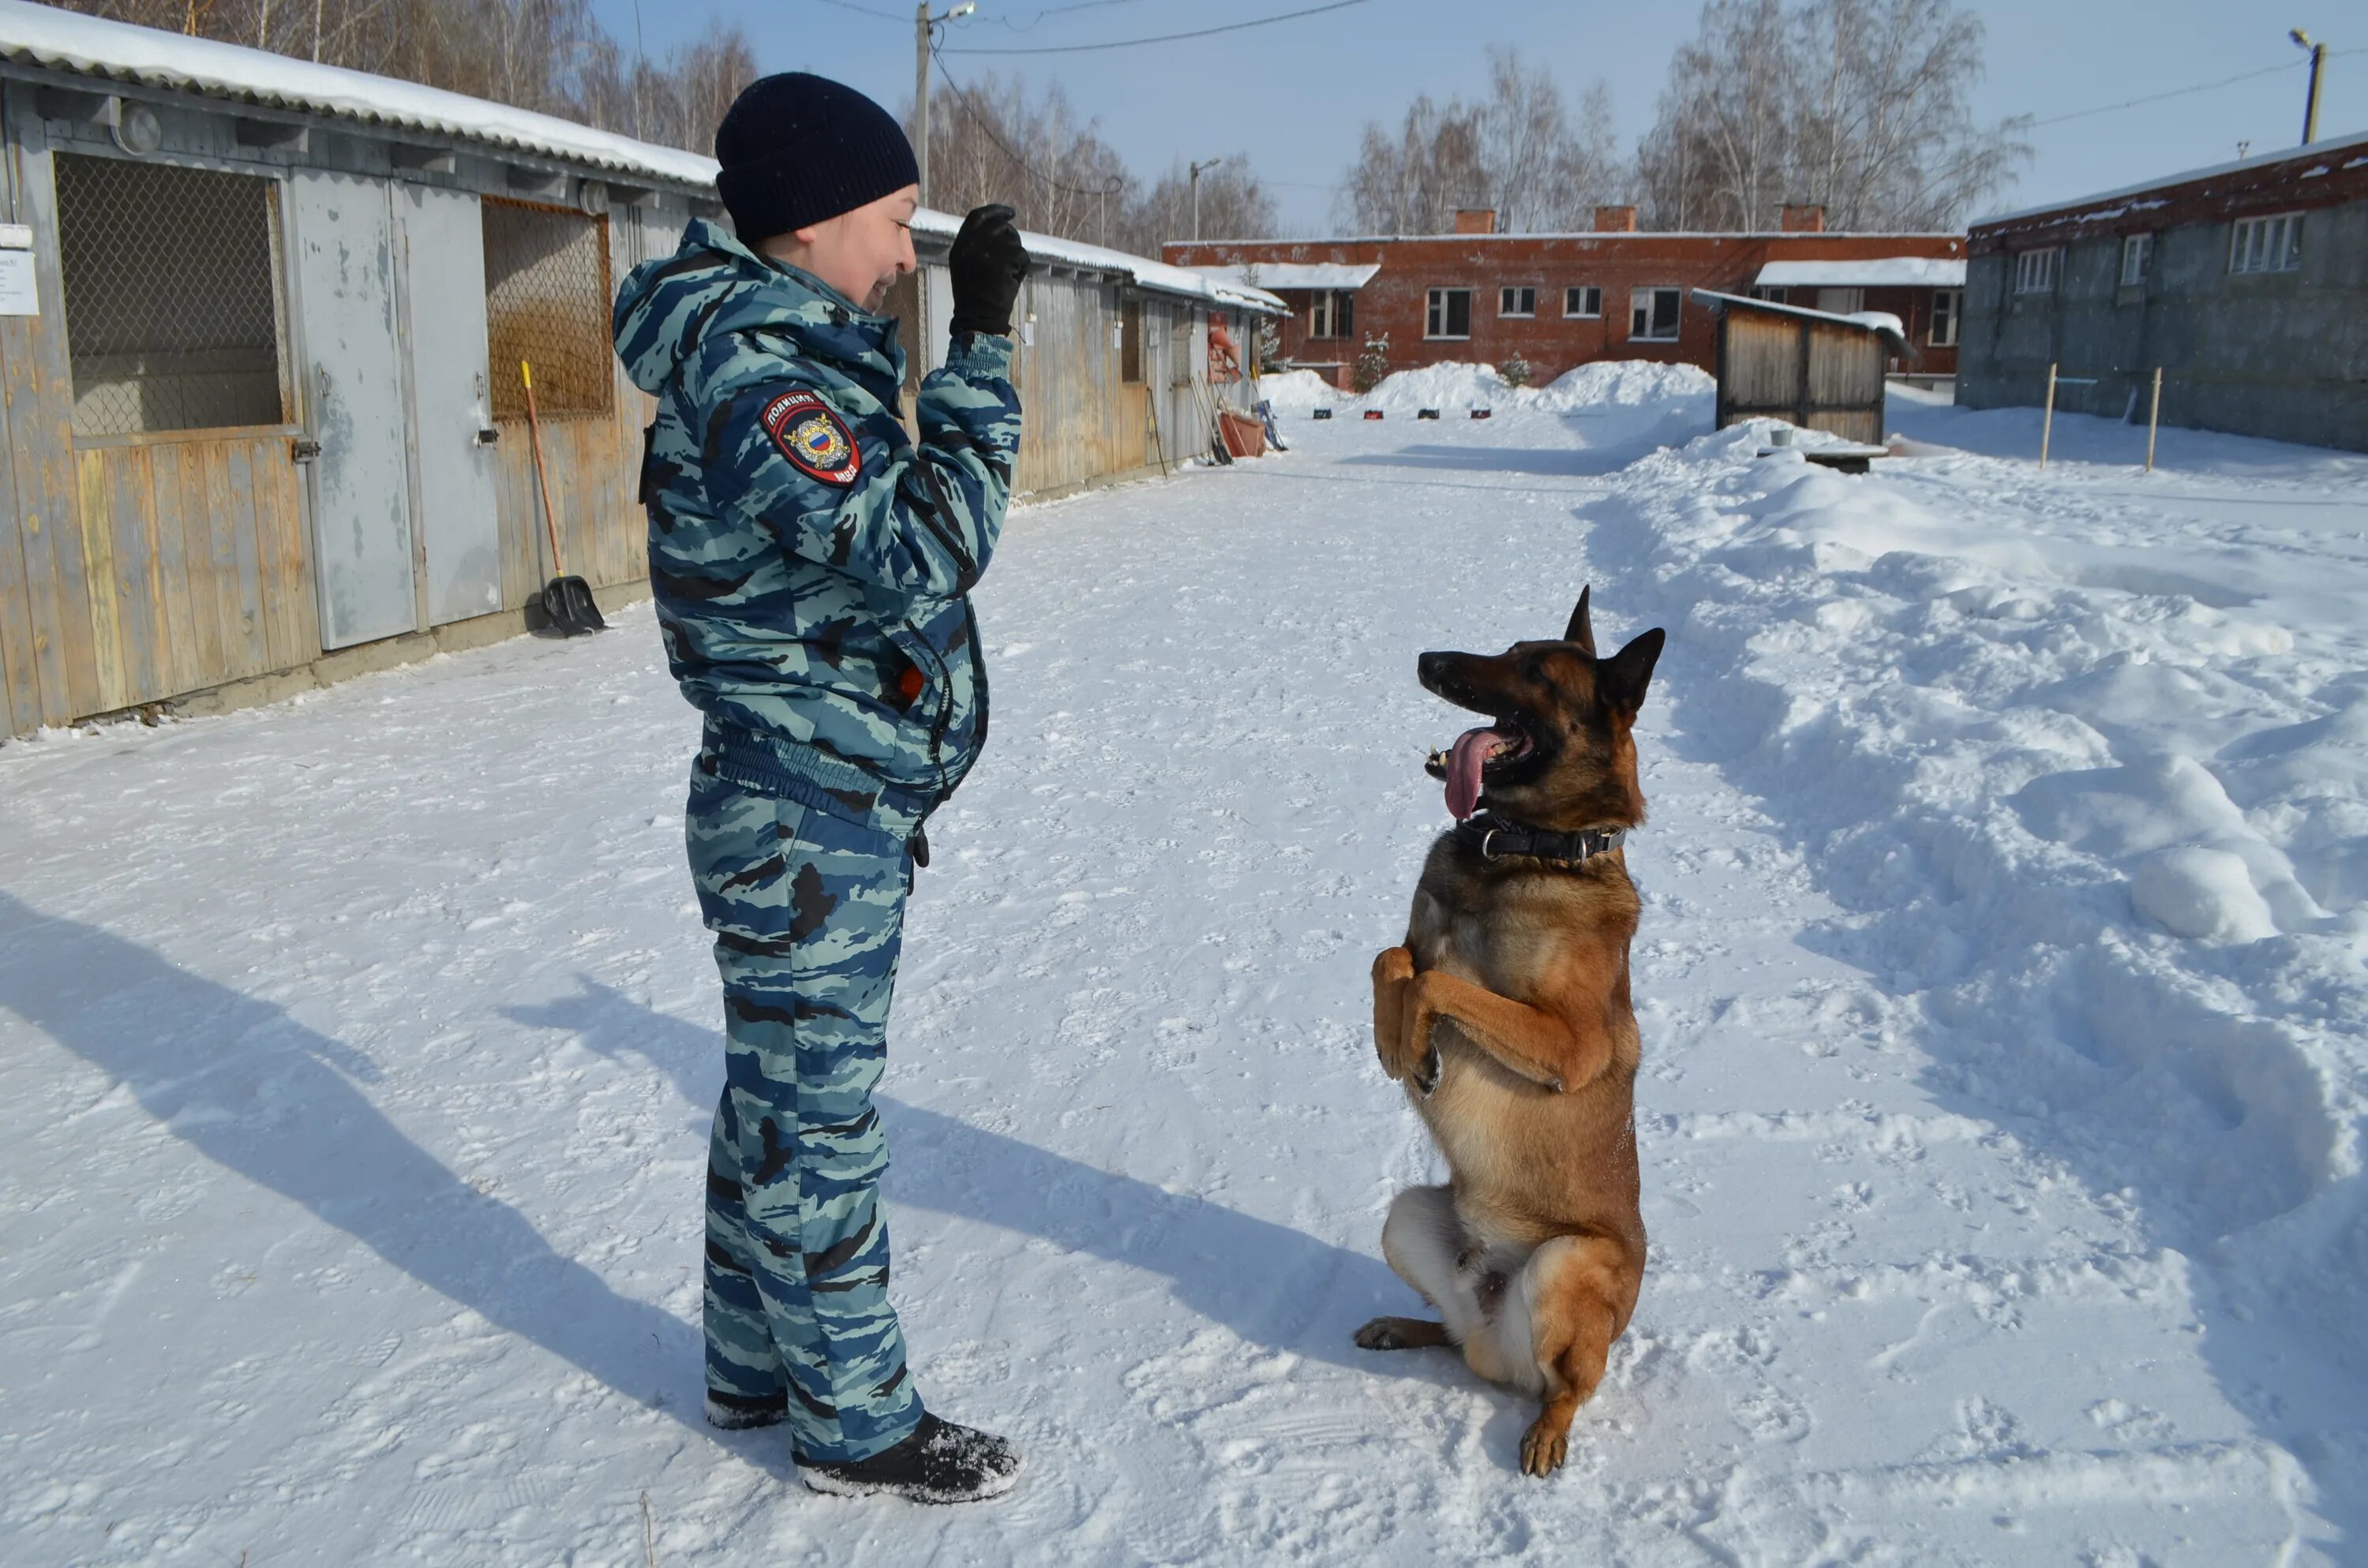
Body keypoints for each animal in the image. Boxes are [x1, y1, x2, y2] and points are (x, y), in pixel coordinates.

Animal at [1354, 589, 1667, 1487]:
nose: (1427, 659)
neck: (1524, 849)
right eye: (1507, 647)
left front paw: (1419, 1044)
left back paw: (1547, 1429)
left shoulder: (1569, 1044)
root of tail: (1497, 1338)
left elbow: (1442, 982)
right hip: (1406, 1217)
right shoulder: (1411, 942)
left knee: (1568, 1386)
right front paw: (1397, 1045)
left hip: (1570, 1260)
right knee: (1456, 1341)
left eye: (1535, 670)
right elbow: (1394, 958)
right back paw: (1402, 1328)